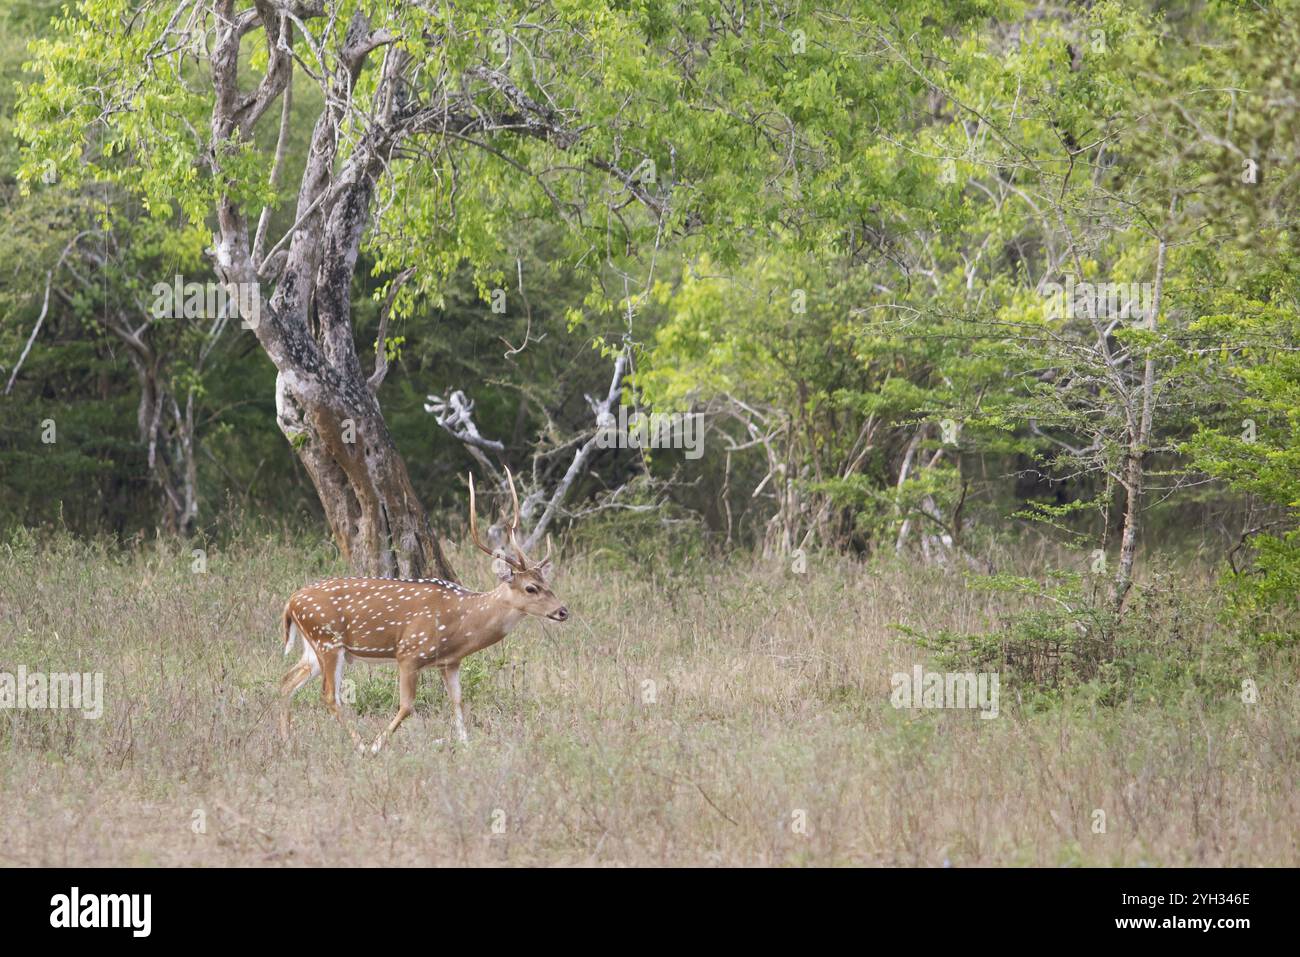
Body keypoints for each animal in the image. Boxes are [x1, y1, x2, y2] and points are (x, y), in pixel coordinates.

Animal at [276, 468, 568, 752]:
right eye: (531, 588)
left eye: (548, 583)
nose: (563, 611)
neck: (461, 624)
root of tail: (291, 603)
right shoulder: (409, 652)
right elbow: (407, 706)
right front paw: (377, 746)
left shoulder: (450, 662)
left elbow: (457, 701)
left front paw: (466, 746)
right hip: (327, 640)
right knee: (329, 695)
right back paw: (360, 746)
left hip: (314, 646)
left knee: (287, 680)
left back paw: (288, 741)